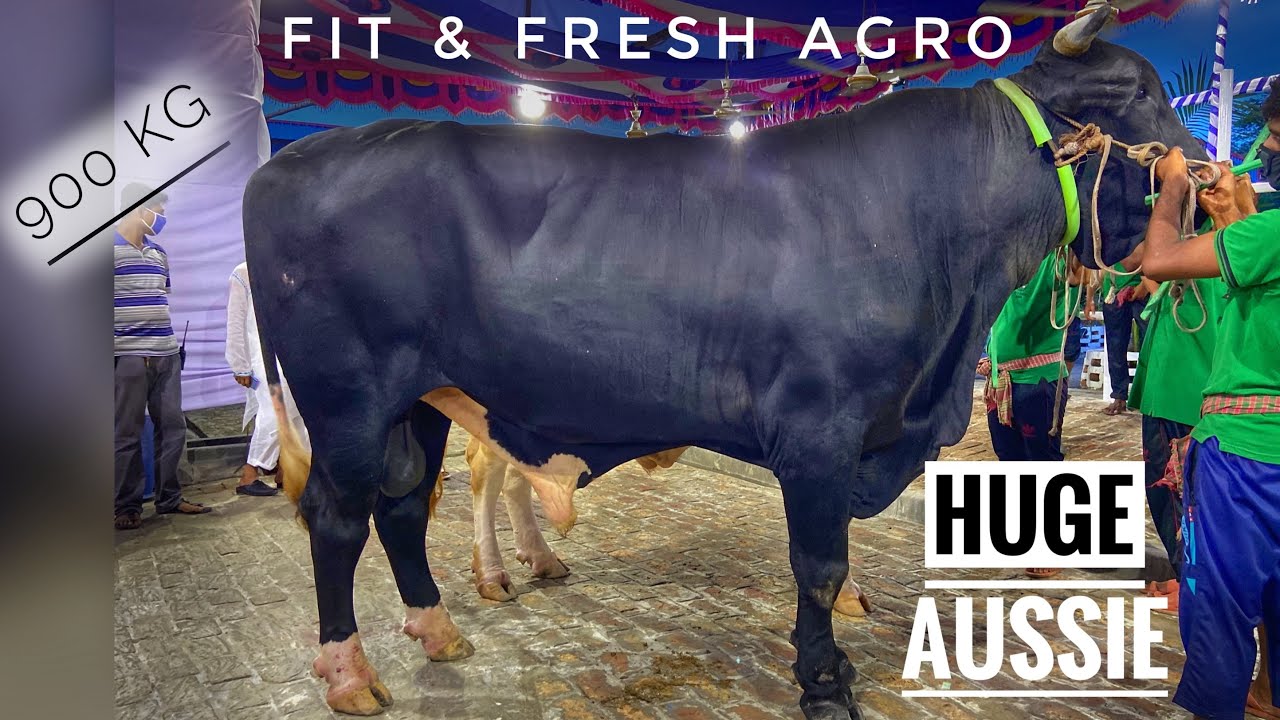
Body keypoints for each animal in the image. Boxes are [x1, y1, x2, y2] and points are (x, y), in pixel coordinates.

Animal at [246, 8, 1206, 717]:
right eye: (1138, 94)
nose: (1213, 183)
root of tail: (291, 160)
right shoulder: (818, 428)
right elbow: (820, 567)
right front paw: (825, 684)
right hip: (349, 399)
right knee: (338, 519)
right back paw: (350, 673)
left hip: (423, 399)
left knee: (405, 508)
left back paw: (439, 628)